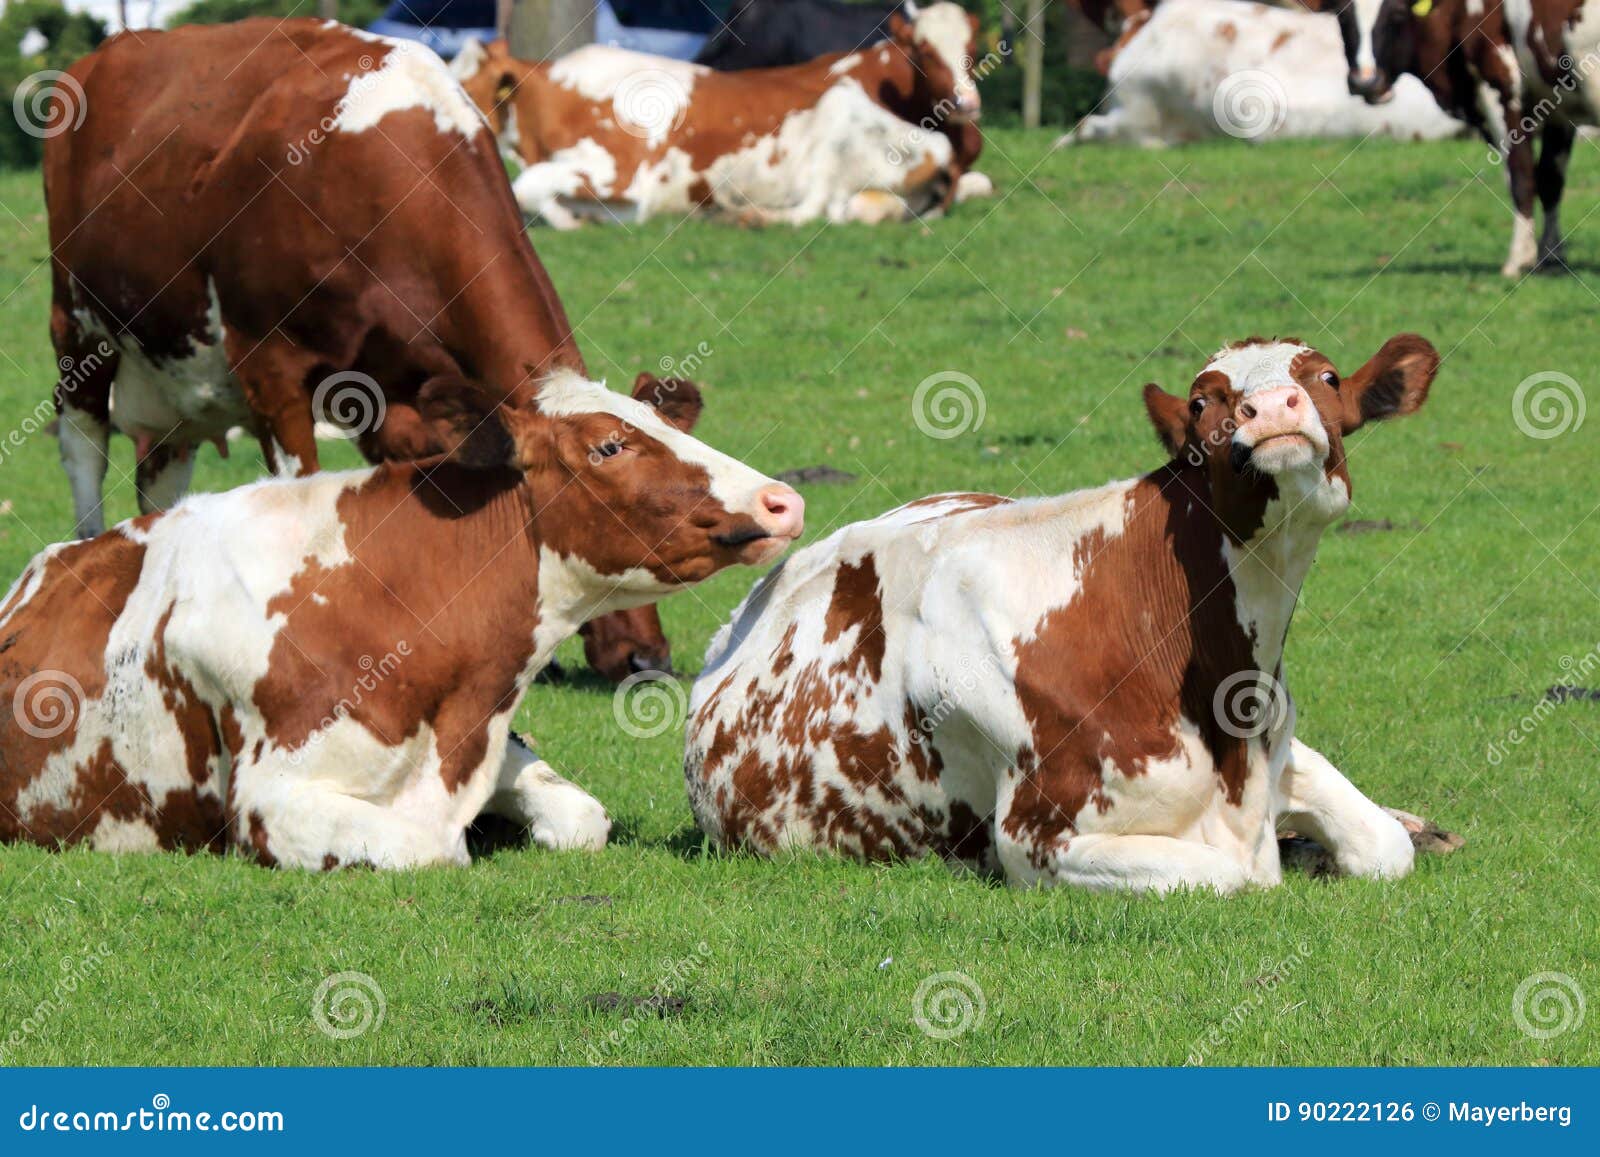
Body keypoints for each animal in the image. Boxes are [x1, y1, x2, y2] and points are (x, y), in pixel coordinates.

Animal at [685, 335, 1456, 892]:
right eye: (1203, 401)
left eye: (1327, 377)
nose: (1269, 408)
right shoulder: (1037, 837)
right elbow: (1230, 876)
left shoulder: (1281, 747)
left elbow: (1382, 845)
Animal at [1358, 0, 1599, 276]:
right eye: (1346, 18)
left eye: (1396, 13)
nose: (1365, 82)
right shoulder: (1557, 108)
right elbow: (1550, 181)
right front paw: (1551, 257)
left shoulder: (1501, 86)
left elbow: (1521, 176)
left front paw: (1519, 259)